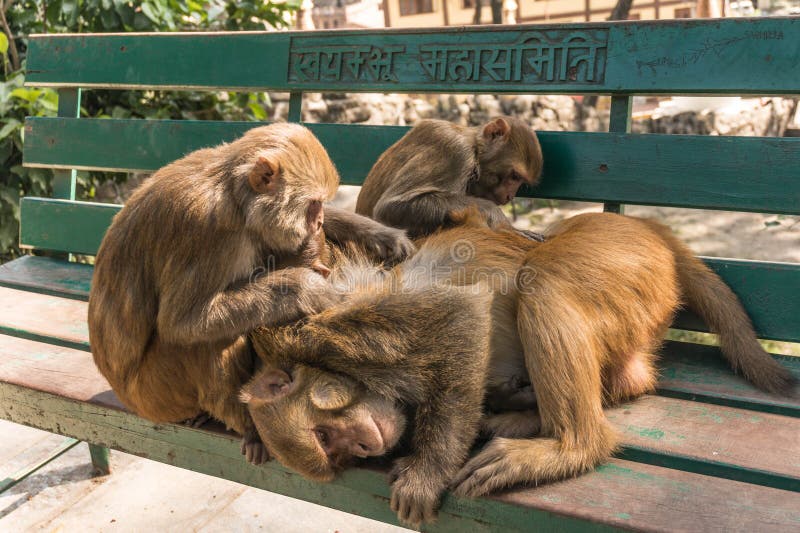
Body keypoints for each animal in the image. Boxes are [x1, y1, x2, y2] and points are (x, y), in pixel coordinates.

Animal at [88, 123, 414, 465]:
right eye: (313, 204)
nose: (320, 220)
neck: (234, 199)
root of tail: (124, 395)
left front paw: (379, 235)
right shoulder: (208, 230)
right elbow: (182, 322)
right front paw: (309, 288)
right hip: (155, 395)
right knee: (204, 340)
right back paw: (250, 427)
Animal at [242, 208, 795, 525]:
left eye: (325, 436)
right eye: (334, 453)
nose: (360, 447)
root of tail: (648, 227)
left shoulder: (327, 335)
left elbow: (462, 315)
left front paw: (428, 471)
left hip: (621, 255)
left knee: (544, 280)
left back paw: (571, 445)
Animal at [355, 116, 544, 240]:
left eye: (520, 181)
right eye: (514, 176)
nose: (510, 196)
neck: (475, 150)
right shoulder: (456, 152)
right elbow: (389, 207)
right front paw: (499, 218)